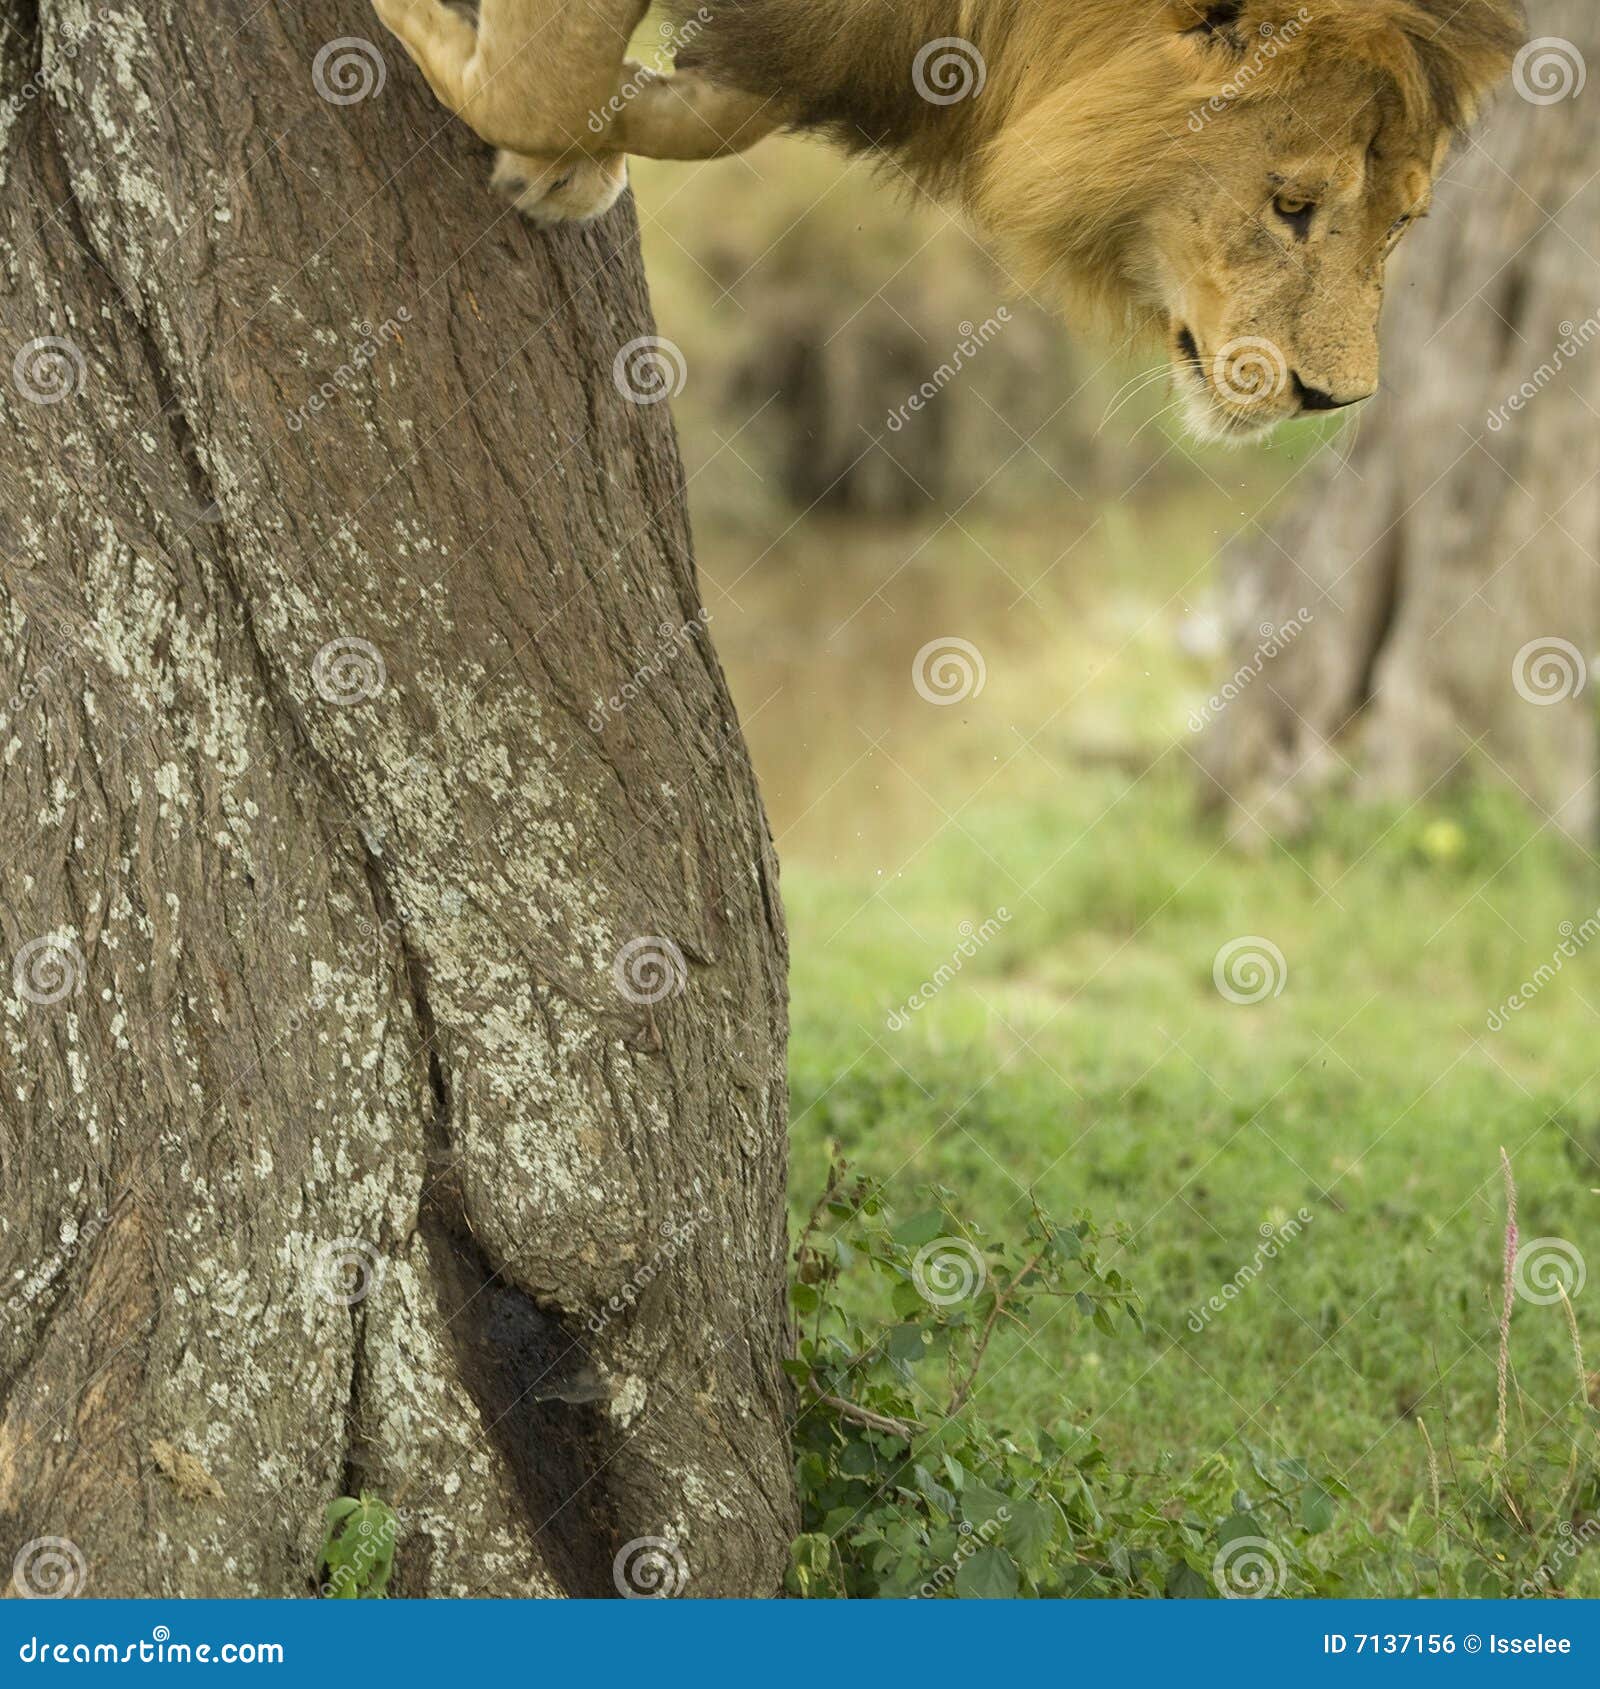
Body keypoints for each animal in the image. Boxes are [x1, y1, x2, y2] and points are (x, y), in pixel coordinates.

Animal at [370, 0, 1523, 440]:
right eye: (1291, 207)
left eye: (1403, 226)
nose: (1336, 400)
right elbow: (544, 79)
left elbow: (703, 113)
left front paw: (566, 166)